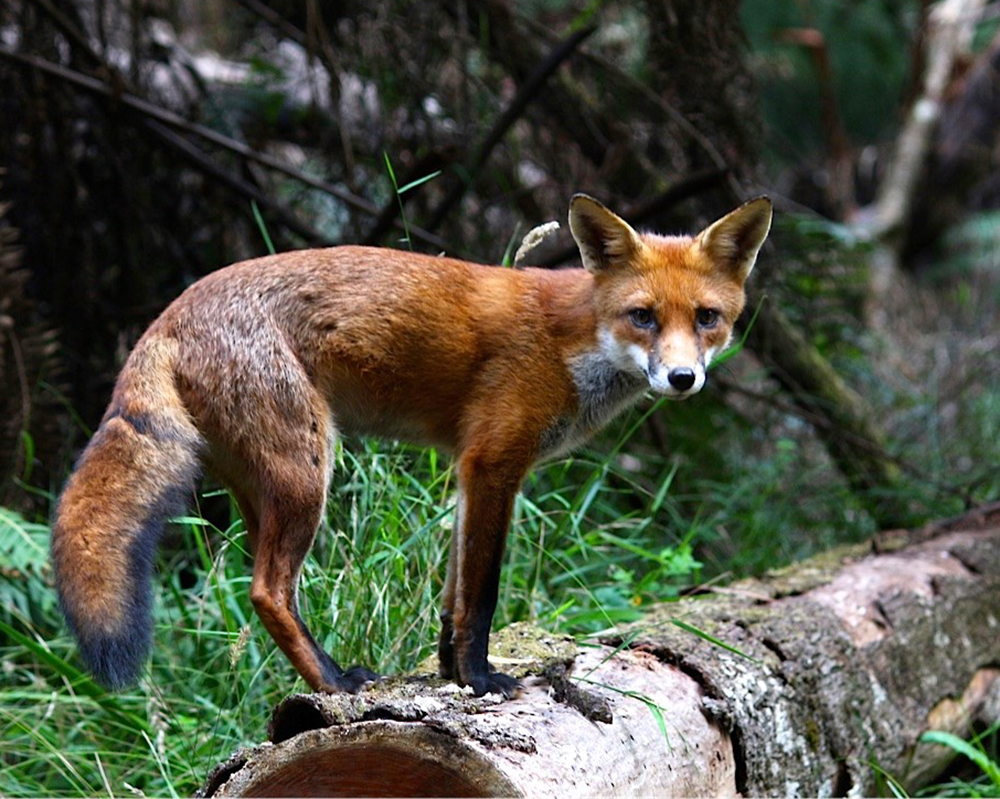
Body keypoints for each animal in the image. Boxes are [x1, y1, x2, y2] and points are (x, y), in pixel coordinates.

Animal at [51, 194, 771, 698]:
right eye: (643, 316)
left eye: (707, 318)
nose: (682, 379)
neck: (572, 341)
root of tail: (166, 318)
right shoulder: (493, 462)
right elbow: (481, 591)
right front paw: (481, 681)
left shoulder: (467, 471)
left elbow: (452, 595)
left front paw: (451, 671)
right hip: (308, 472)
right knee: (265, 591)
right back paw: (334, 683)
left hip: (265, 485)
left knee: (264, 589)